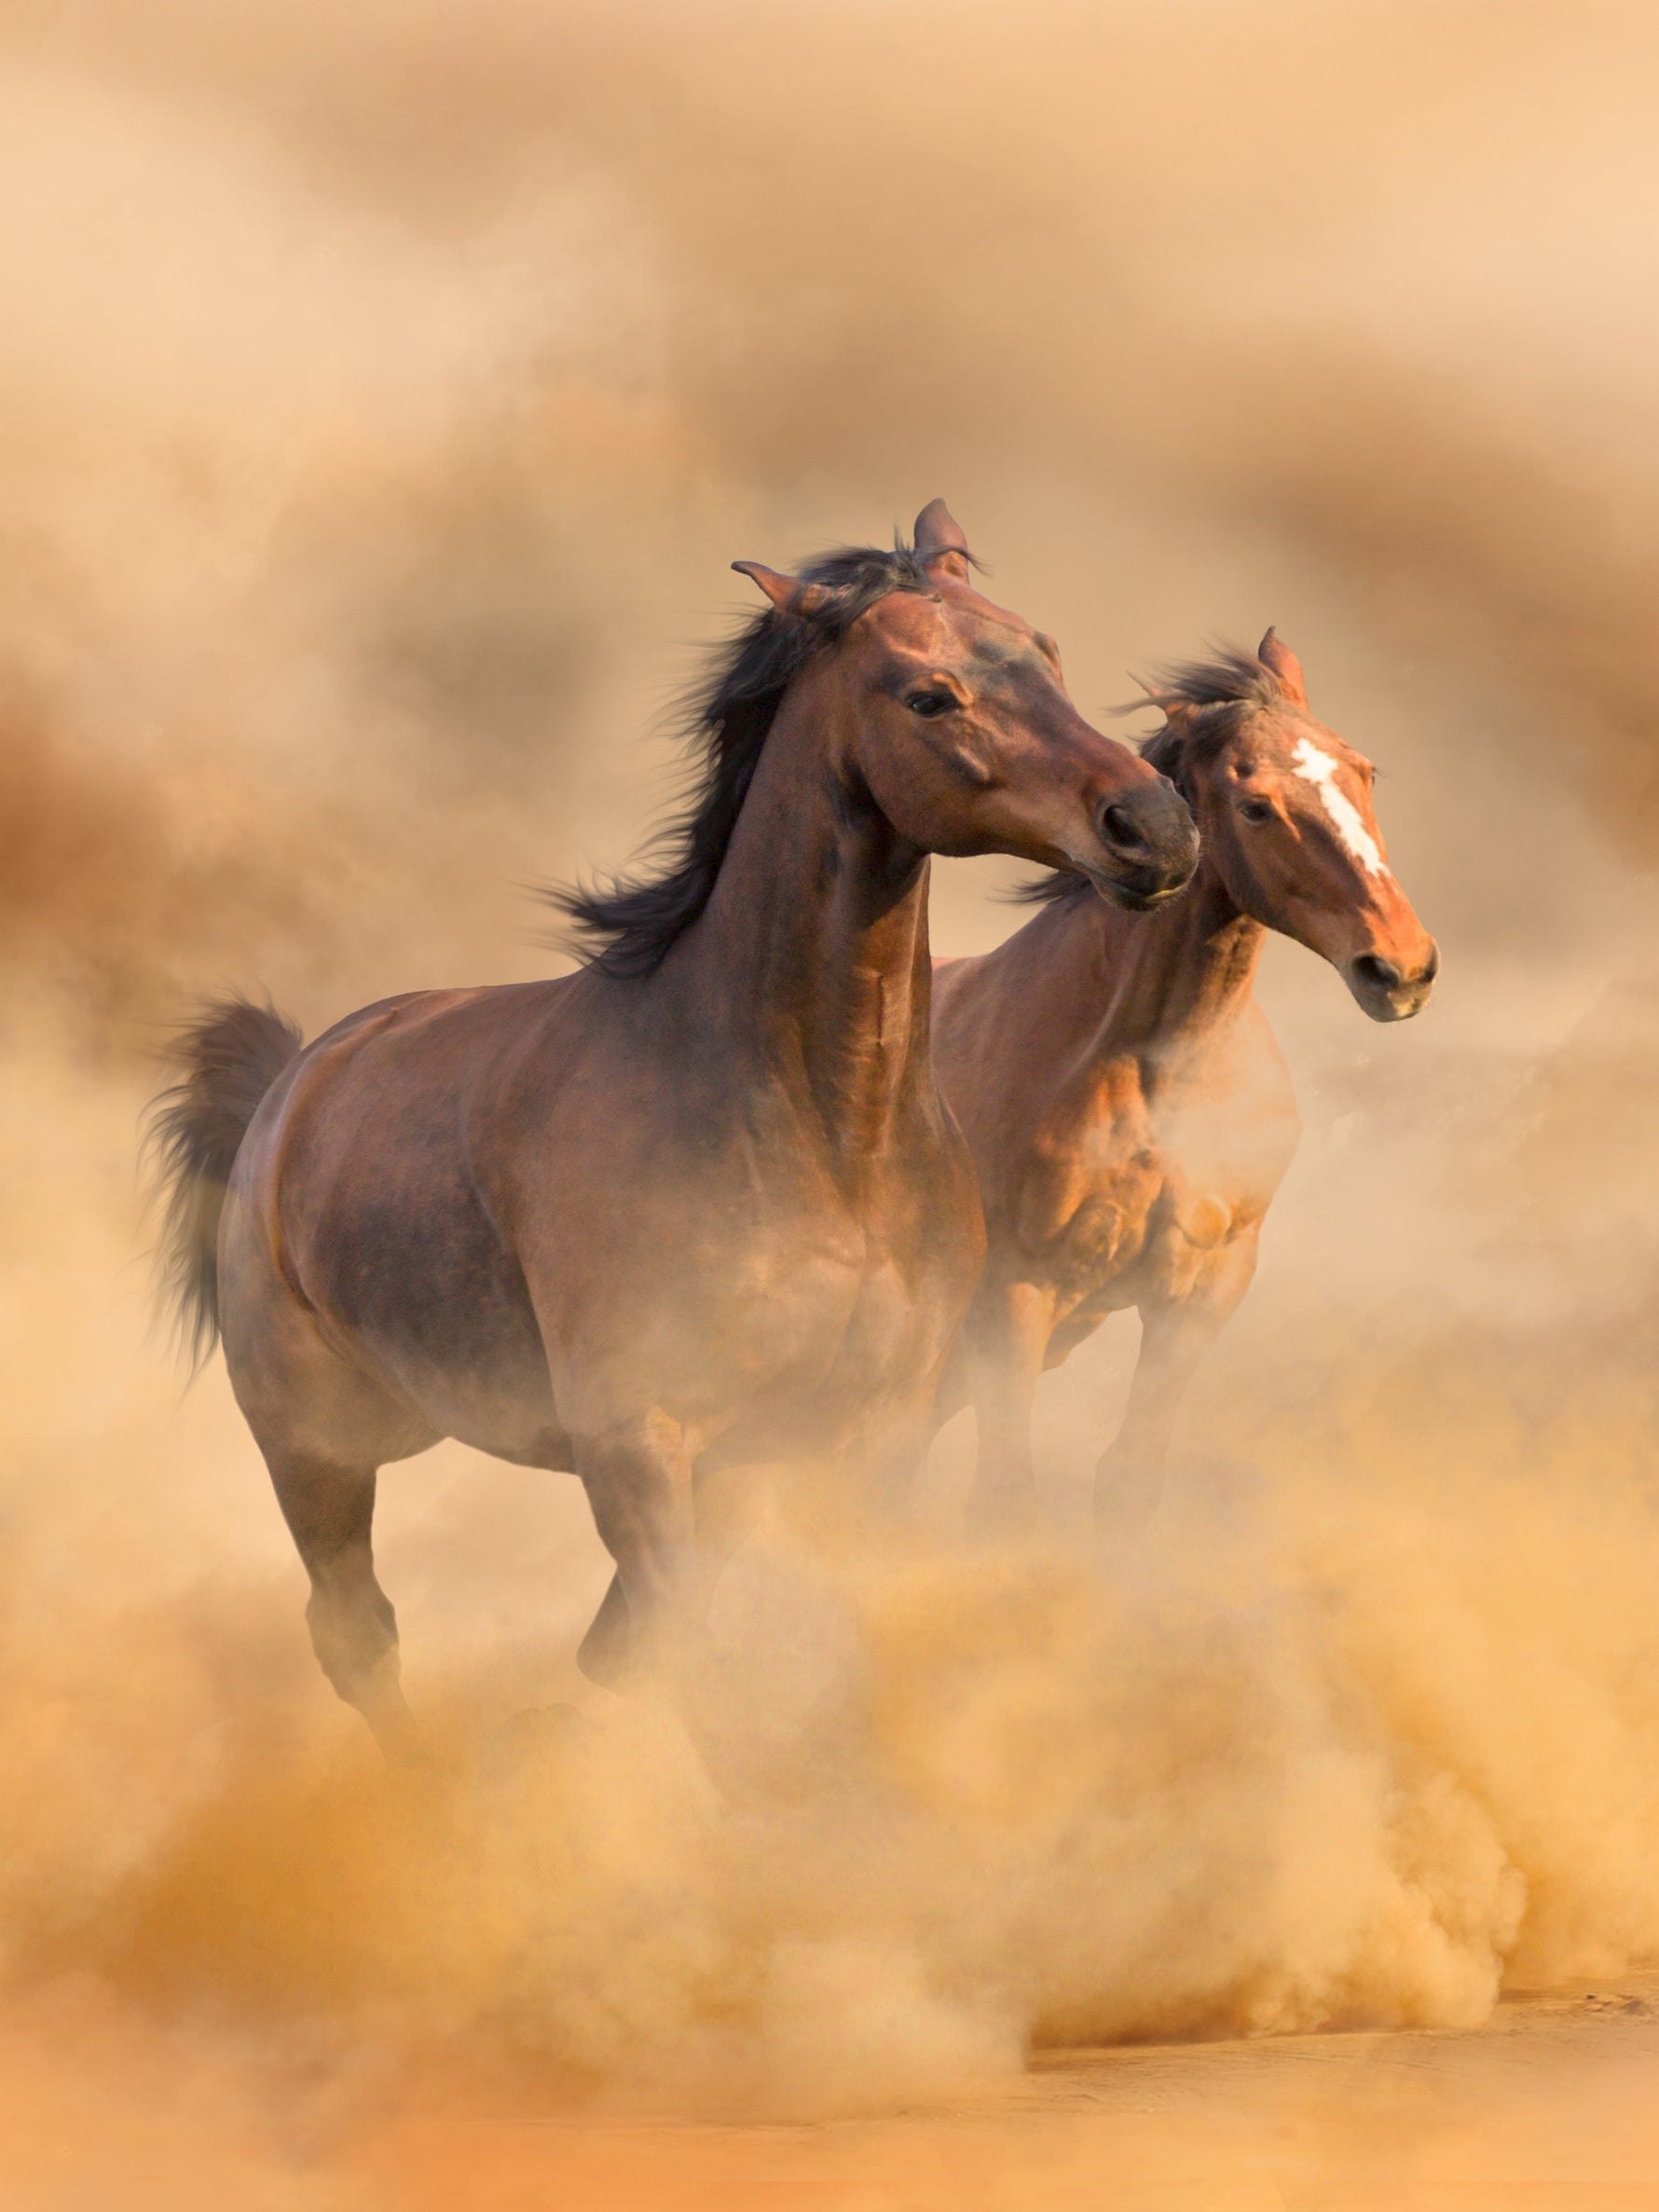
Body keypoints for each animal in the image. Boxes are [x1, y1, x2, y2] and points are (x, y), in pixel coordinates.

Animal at [147, 502, 1199, 1753]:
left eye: (1043, 649)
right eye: (926, 696)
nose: (1152, 827)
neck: (822, 1142)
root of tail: (292, 1085)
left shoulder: (854, 1438)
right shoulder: (637, 1440)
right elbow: (701, 1664)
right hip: (315, 1447)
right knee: (357, 1631)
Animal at [930, 630, 1437, 1538]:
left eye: (1364, 770)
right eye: (1256, 805)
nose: (1400, 968)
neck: (1157, 1074)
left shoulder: (1203, 1289)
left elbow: (1129, 1475)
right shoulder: (1016, 1290)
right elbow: (1005, 1498)